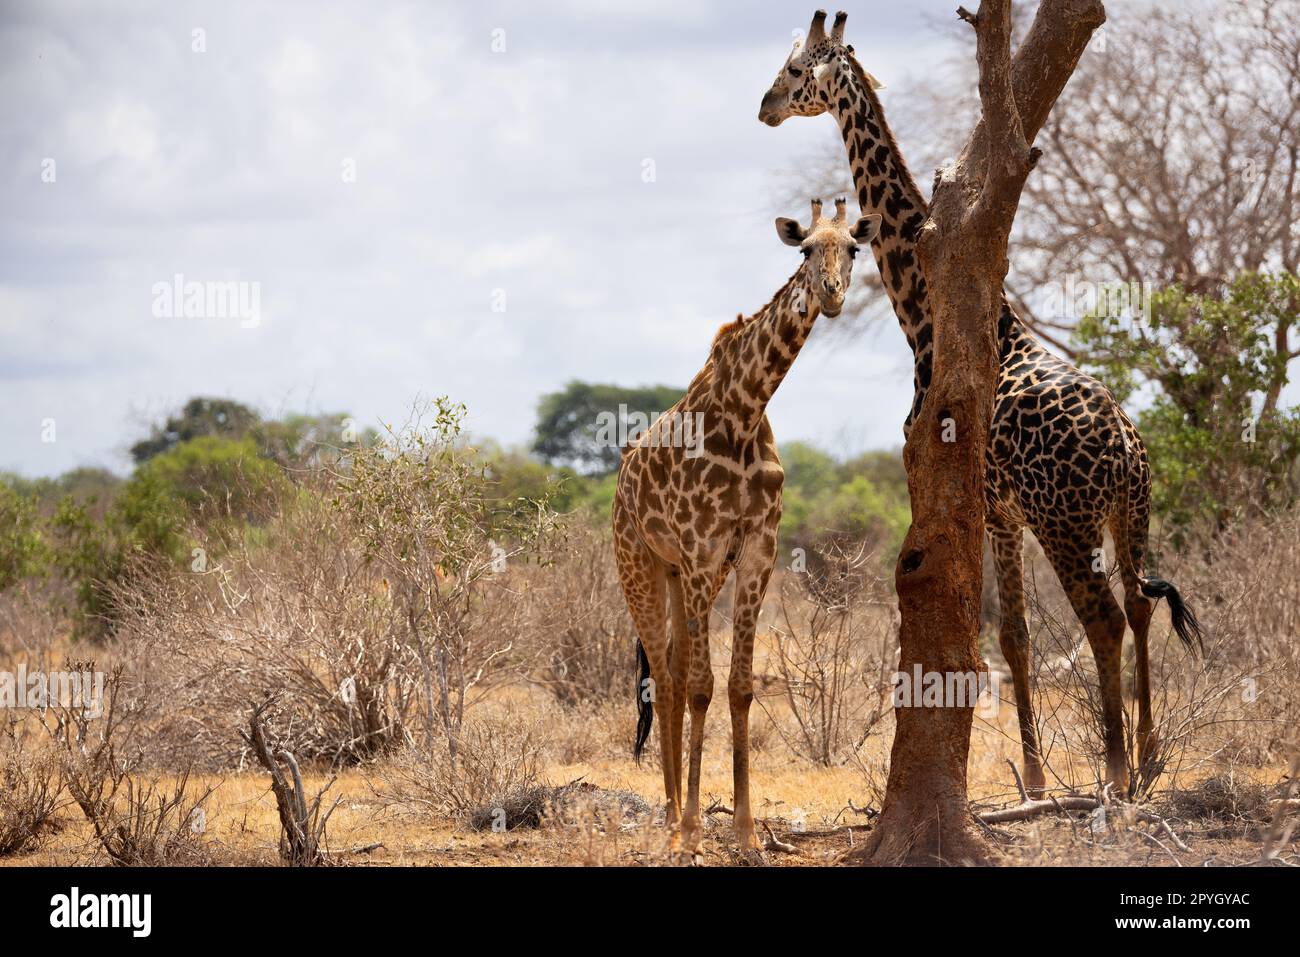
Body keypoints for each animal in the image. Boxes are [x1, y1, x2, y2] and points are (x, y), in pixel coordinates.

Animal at [614, 199, 881, 852]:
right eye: (805, 248)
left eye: (853, 248)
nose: (832, 295)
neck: (743, 410)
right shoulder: (702, 551)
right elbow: (702, 687)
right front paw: (691, 830)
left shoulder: (756, 553)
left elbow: (739, 687)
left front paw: (746, 831)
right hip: (641, 564)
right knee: (664, 677)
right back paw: (669, 818)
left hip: (679, 573)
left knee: (672, 671)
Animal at [757, 10, 1203, 796]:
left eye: (796, 70)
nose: (765, 106)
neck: (927, 317)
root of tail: (1125, 448)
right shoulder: (1001, 512)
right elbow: (1013, 636)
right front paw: (1032, 775)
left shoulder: (940, 477)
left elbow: (971, 621)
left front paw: (1036, 774)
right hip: (1131, 513)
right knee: (1141, 603)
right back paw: (1148, 756)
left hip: (1068, 520)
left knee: (1105, 618)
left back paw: (1116, 769)